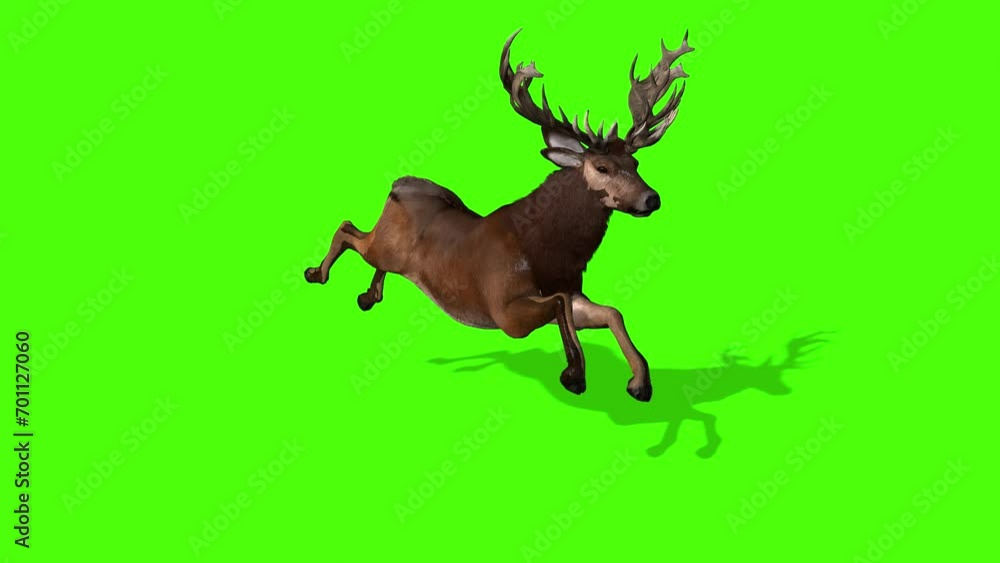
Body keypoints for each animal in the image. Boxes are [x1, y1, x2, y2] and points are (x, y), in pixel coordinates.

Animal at [305, 29, 693, 402]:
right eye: (602, 167)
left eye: (635, 163)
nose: (651, 199)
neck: (551, 254)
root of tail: (397, 185)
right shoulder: (503, 310)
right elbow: (559, 304)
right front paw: (575, 374)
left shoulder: (572, 290)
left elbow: (612, 311)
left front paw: (640, 383)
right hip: (385, 246)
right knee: (348, 228)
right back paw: (316, 274)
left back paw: (369, 295)